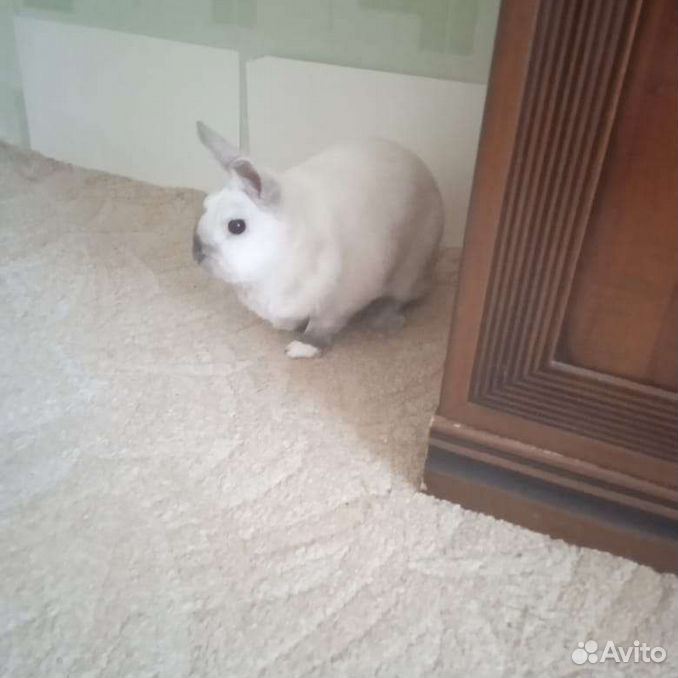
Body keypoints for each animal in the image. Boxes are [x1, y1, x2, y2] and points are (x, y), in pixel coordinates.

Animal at [192, 121, 443, 358]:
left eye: (236, 226)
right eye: (206, 205)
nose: (196, 252)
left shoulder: (339, 300)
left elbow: (321, 327)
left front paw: (300, 348)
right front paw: (289, 327)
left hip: (410, 268)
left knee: (403, 297)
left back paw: (383, 320)